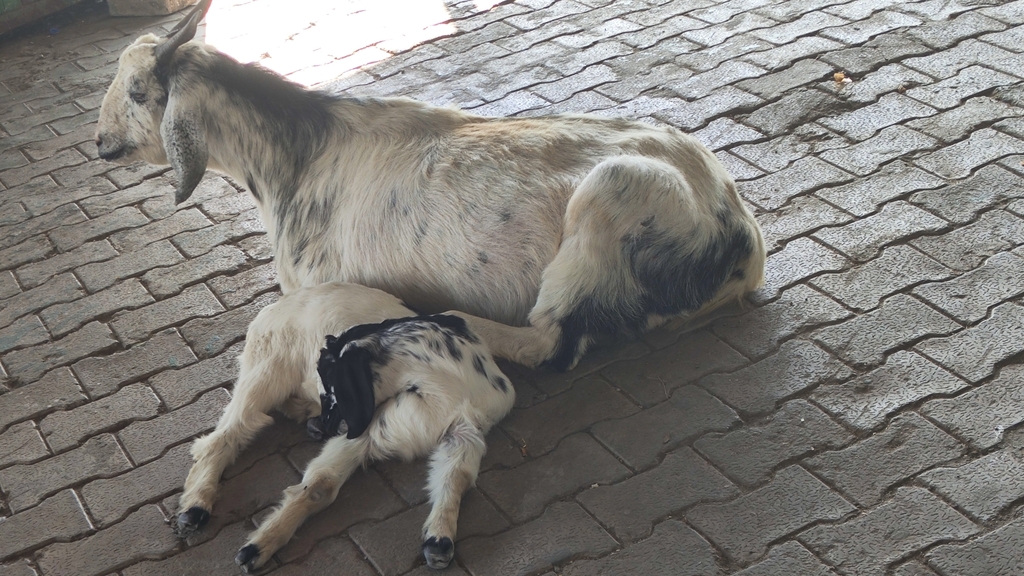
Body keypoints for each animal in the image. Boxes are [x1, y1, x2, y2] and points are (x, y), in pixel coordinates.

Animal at [95, 0, 766, 371]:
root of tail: (740, 239)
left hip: (614, 196)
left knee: (551, 345)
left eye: (136, 92)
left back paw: (447, 316)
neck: (295, 153)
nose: (99, 142)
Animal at [176, 281, 514, 572]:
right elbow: (321, 485)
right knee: (226, 435)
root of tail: (280, 302)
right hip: (267, 371)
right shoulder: (364, 431)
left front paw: (439, 539)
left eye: (333, 385)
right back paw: (195, 506)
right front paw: (260, 545)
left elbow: (457, 477)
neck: (443, 386)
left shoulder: (463, 433)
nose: (325, 426)